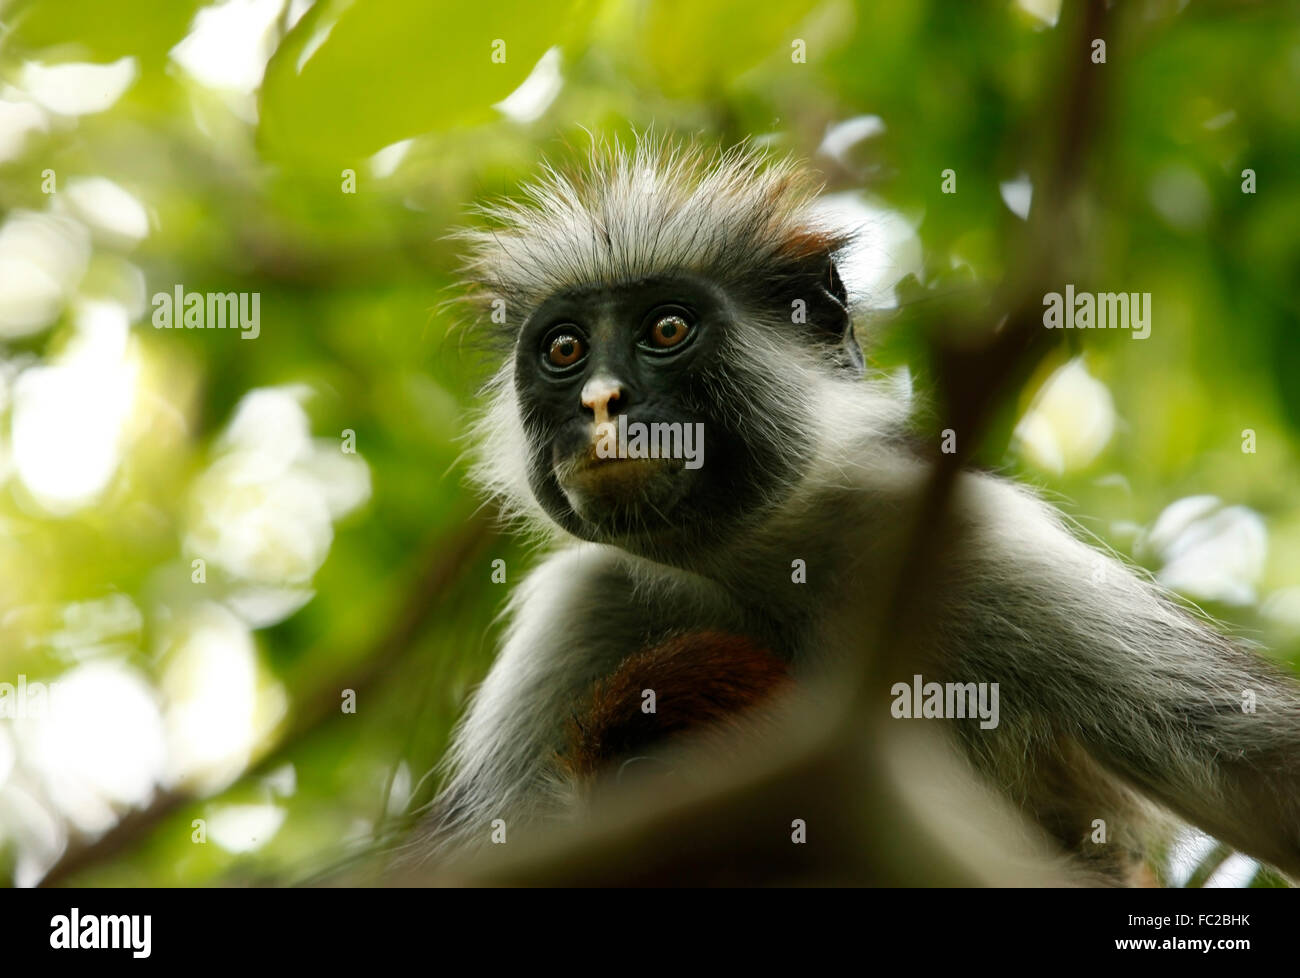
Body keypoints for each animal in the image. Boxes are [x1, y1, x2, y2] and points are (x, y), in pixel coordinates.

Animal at [419, 136, 1300, 885]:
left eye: (666, 328)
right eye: (565, 350)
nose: (603, 401)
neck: (755, 567)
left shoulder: (961, 544)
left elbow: (1264, 772)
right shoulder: (579, 616)